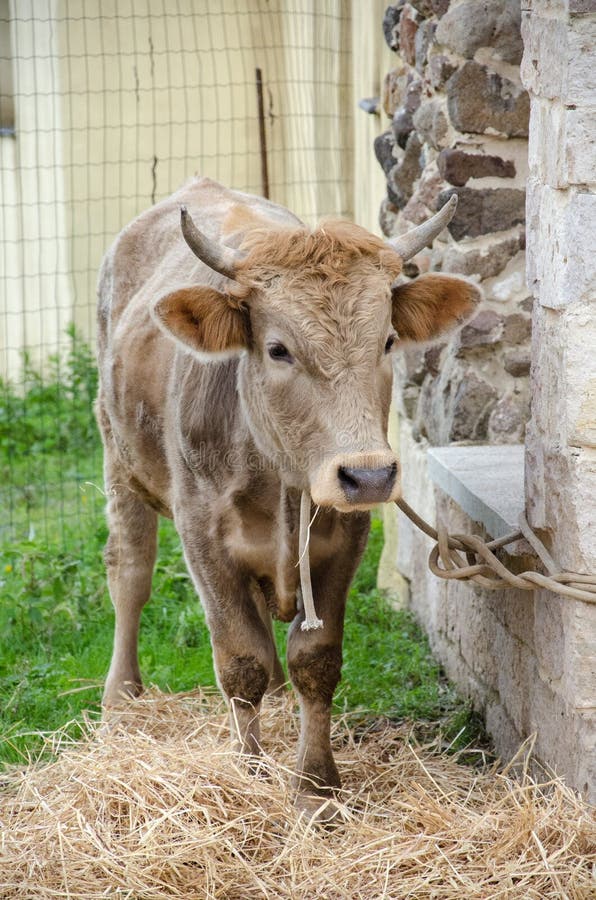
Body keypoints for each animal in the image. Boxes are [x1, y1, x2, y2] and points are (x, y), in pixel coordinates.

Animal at [96, 176, 478, 818]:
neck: (279, 481)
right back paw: (120, 697)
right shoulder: (203, 539)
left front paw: (316, 787)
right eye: (278, 349)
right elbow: (239, 661)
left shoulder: (345, 541)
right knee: (129, 577)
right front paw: (249, 773)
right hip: (119, 462)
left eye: (388, 341)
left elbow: (315, 661)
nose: (369, 477)